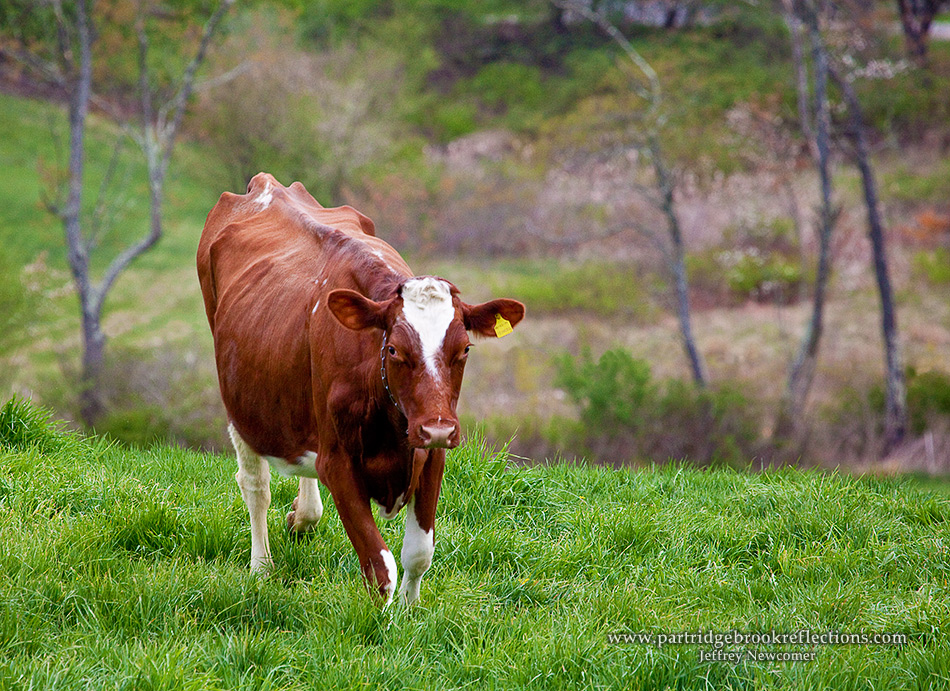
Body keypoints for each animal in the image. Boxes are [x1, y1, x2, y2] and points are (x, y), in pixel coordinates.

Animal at [196, 173, 524, 606]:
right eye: (394, 349)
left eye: (465, 348)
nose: (438, 428)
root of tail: (267, 184)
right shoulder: (339, 462)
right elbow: (380, 566)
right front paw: (384, 618)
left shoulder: (431, 457)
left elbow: (418, 553)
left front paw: (410, 611)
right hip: (240, 404)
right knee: (256, 485)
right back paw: (261, 567)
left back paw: (300, 517)